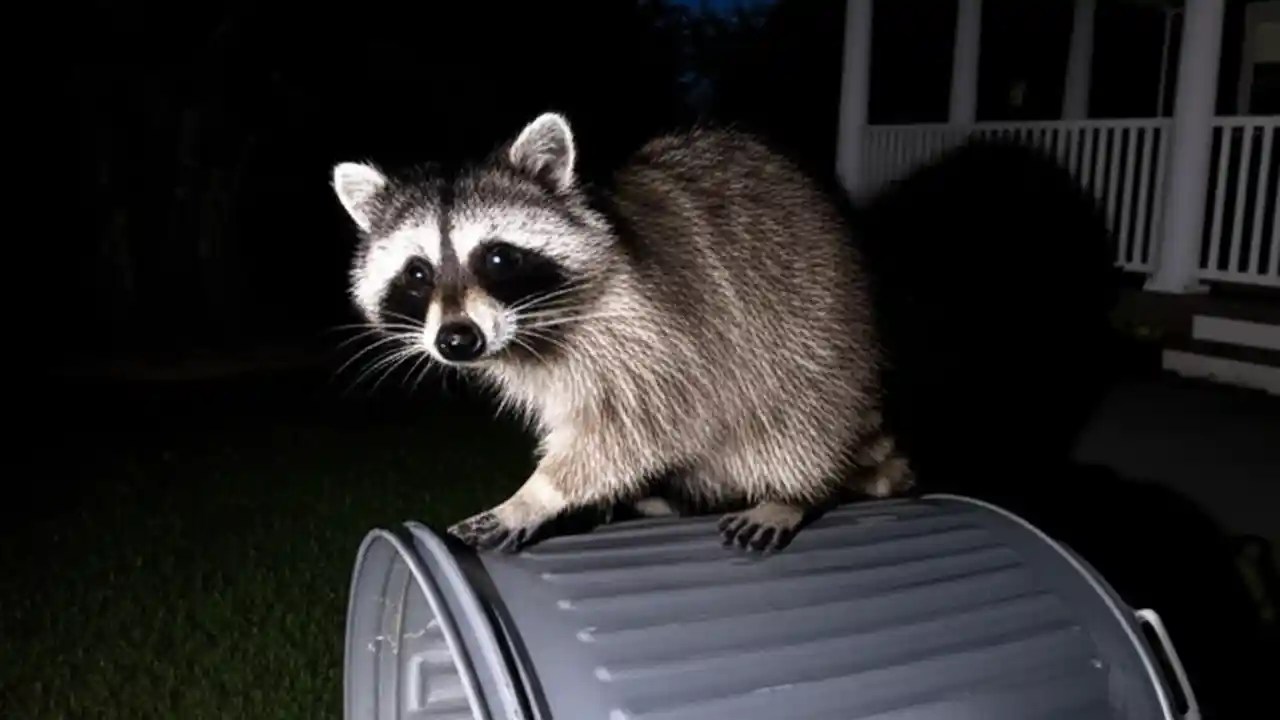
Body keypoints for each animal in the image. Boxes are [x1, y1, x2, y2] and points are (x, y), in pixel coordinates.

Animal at [332, 112, 911, 553]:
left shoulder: (661, 327)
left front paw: (536, 494)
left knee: (795, 419)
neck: (533, 332)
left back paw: (792, 492)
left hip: (816, 338)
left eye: (497, 258)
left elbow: (648, 421)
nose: (457, 341)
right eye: (417, 273)